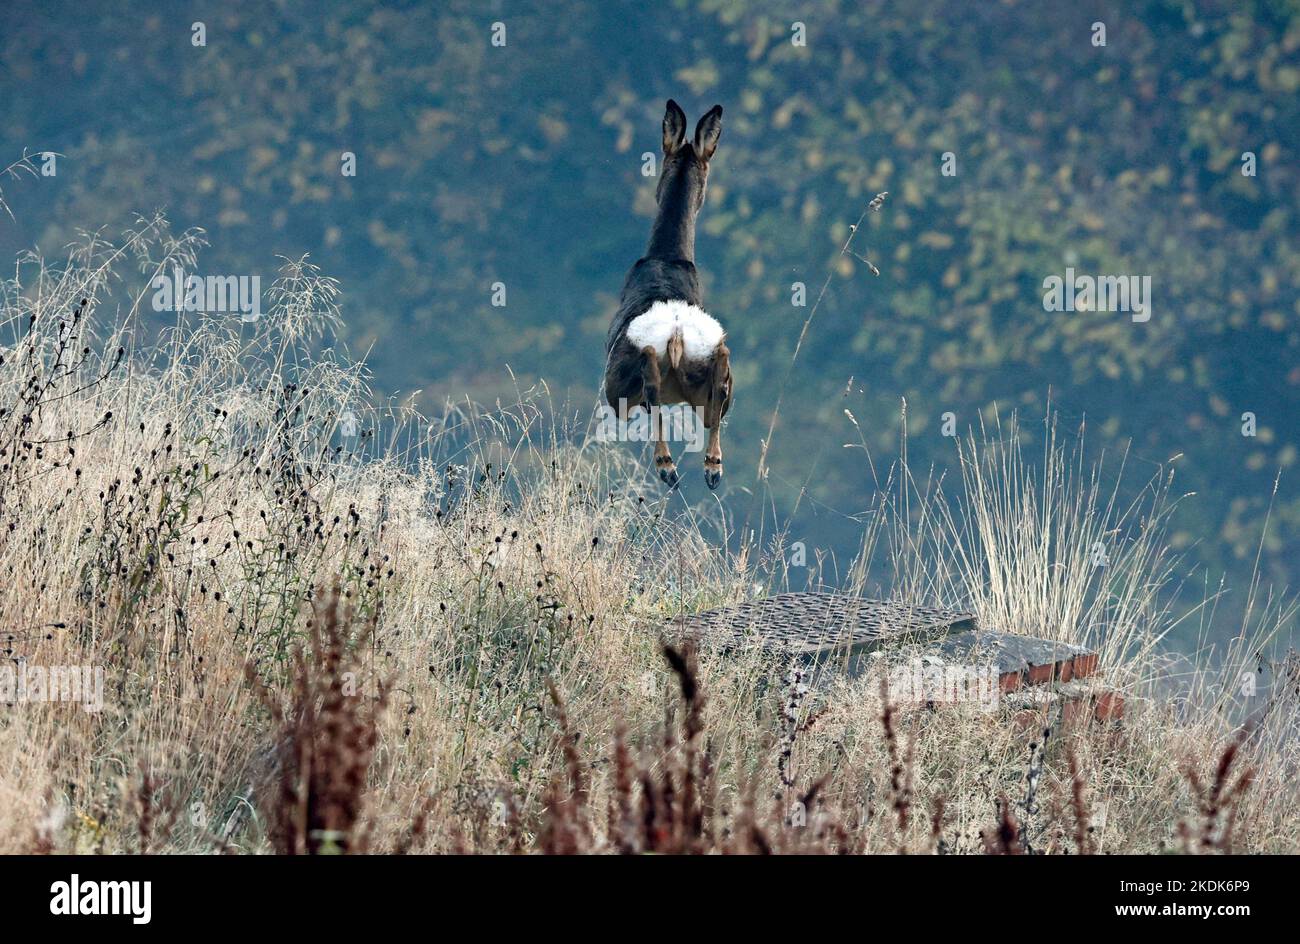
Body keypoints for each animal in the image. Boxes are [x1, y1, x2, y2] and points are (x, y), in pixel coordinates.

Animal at [604, 99, 732, 490]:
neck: (666, 257)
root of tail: (675, 332)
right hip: (703, 387)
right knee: (720, 384)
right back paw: (712, 467)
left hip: (618, 387)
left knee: (651, 388)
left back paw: (667, 467)